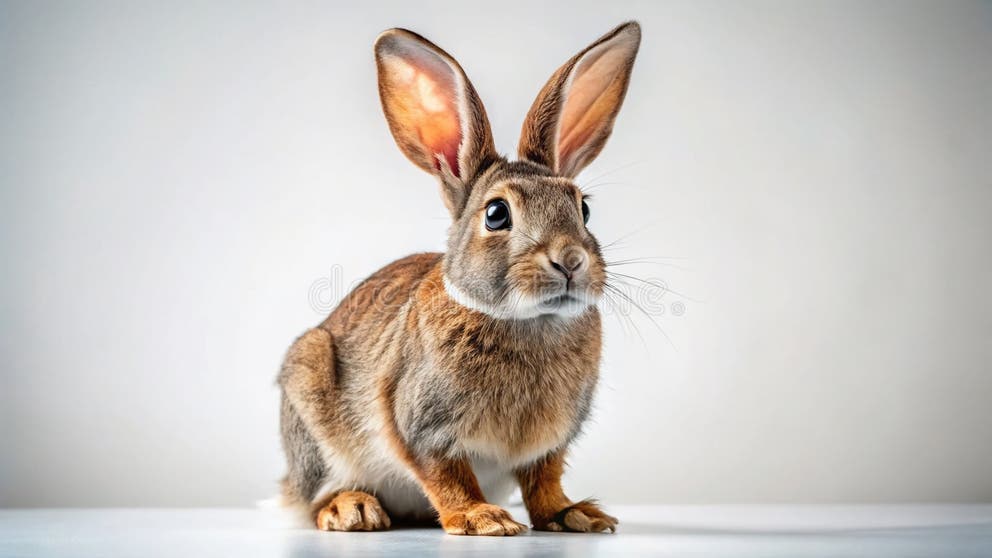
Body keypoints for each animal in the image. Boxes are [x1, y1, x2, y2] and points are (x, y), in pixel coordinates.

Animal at [278, 21, 640, 536]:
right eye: (496, 214)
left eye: (584, 209)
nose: (570, 261)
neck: (527, 322)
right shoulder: (419, 426)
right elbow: (446, 474)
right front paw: (481, 518)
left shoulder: (549, 444)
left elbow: (544, 480)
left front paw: (575, 515)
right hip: (310, 410)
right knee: (313, 498)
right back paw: (352, 511)